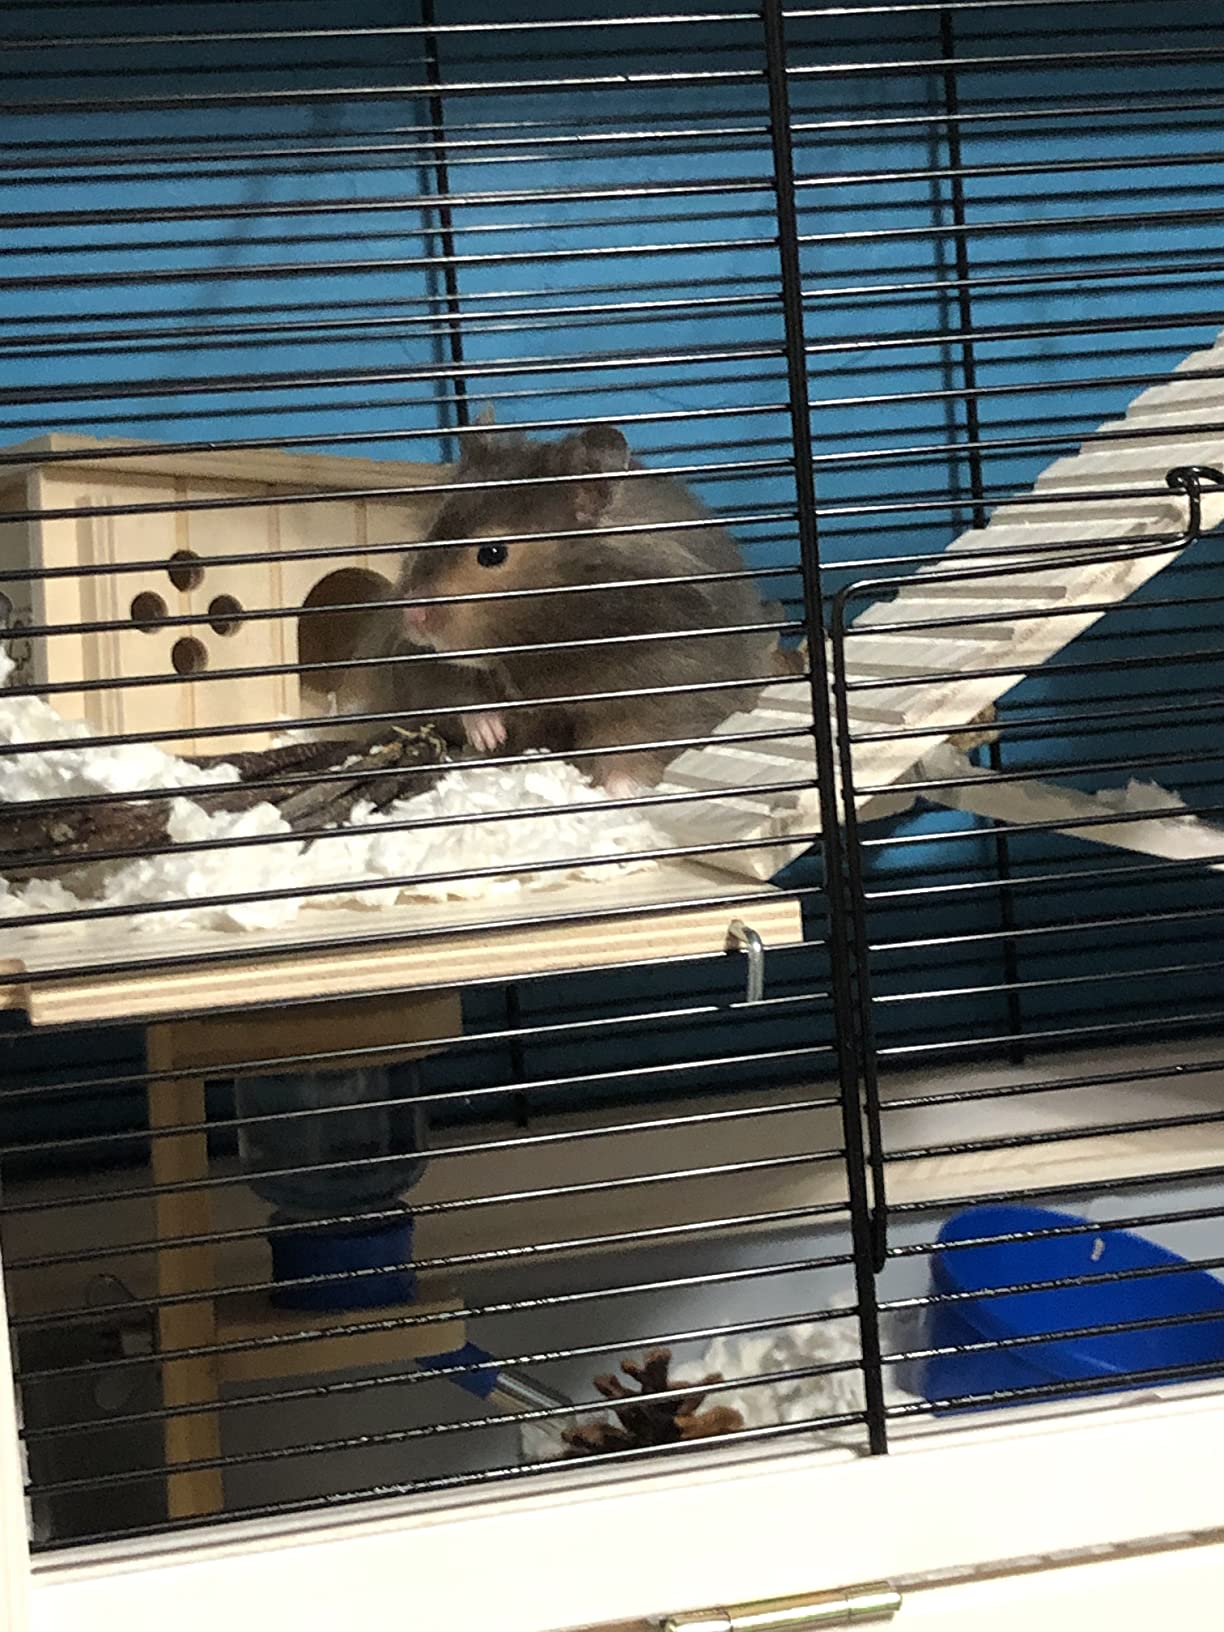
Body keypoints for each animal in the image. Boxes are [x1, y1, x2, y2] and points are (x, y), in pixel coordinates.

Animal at [387, 422, 791, 797]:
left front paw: (616, 791)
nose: (411, 618)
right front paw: (490, 734)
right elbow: (459, 698)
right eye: (428, 534)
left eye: (492, 553)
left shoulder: (672, 683)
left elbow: (633, 746)